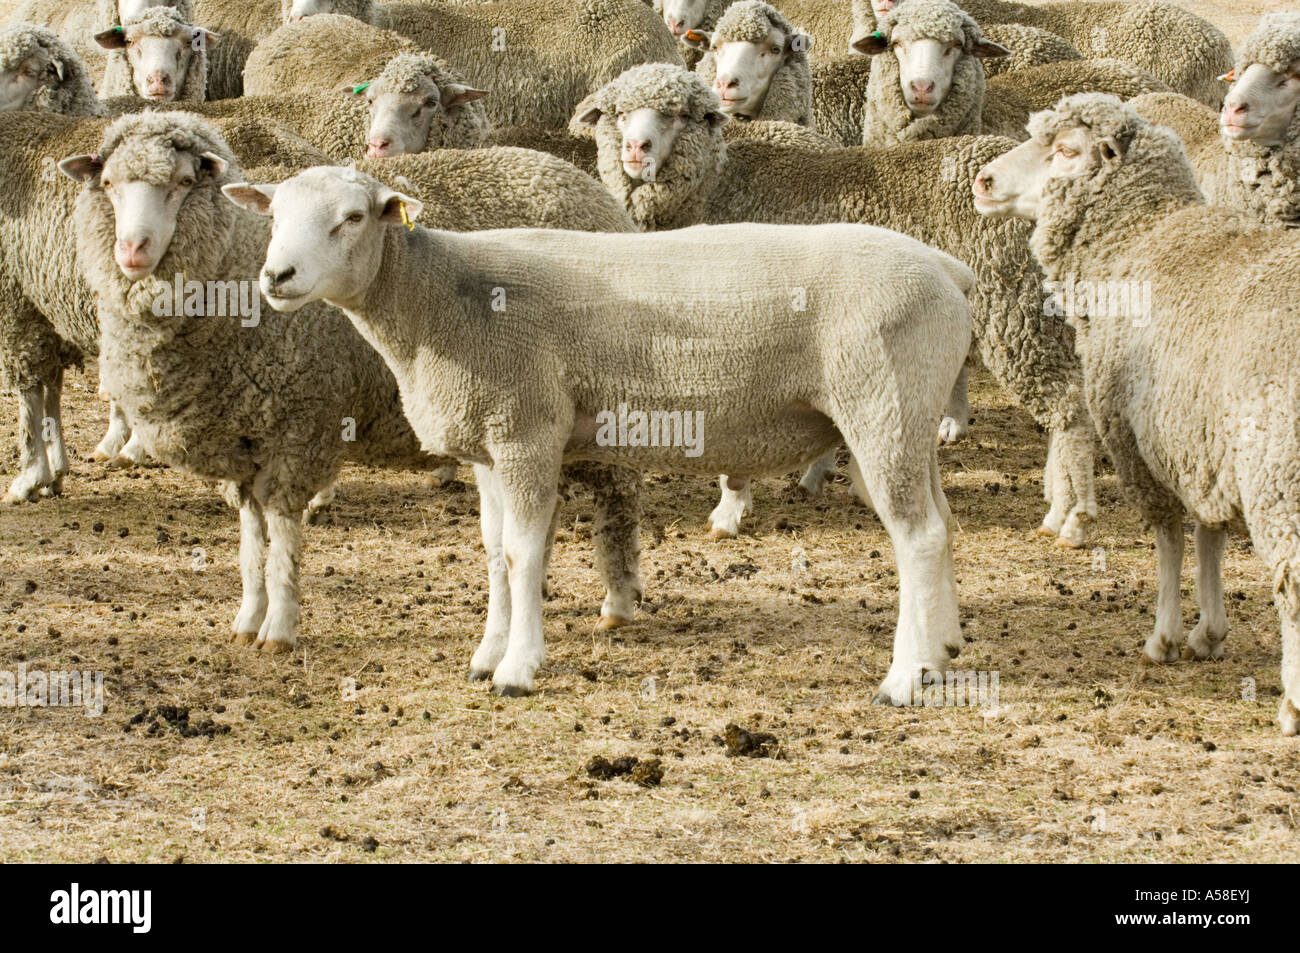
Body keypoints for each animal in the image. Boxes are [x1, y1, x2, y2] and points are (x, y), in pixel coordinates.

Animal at [59, 111, 645, 653]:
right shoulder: (245, 439)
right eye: (107, 184)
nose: (132, 250)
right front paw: (248, 617)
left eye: (182, 182)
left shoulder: (300, 424)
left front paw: (279, 627)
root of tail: (576, 179)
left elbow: (282, 534)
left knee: (617, 497)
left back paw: (617, 600)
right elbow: (250, 540)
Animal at [227, 165, 973, 703]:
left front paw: (518, 668)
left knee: (917, 537)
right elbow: (493, 550)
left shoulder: (528, 429)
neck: (440, 302)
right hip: (907, 414)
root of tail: (948, 268)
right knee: (939, 523)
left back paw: (905, 678)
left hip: (880, 404)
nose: (276, 276)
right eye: (274, 216)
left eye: (352, 218)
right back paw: (943, 650)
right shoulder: (489, 442)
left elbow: (525, 553)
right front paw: (486, 654)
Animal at [576, 63, 1097, 546]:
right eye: (618, 113)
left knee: (1069, 408)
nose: (635, 150)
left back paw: (1066, 518)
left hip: (1016, 309)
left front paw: (731, 509)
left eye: (679, 115)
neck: (719, 186)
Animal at [972, 93, 1300, 735]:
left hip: (1279, 476)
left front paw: (1164, 638)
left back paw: (1293, 704)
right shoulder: (1196, 437)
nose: (984, 180)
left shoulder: (1135, 438)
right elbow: (1210, 535)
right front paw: (1209, 634)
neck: (1138, 237)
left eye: (1064, 150)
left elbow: (1170, 539)